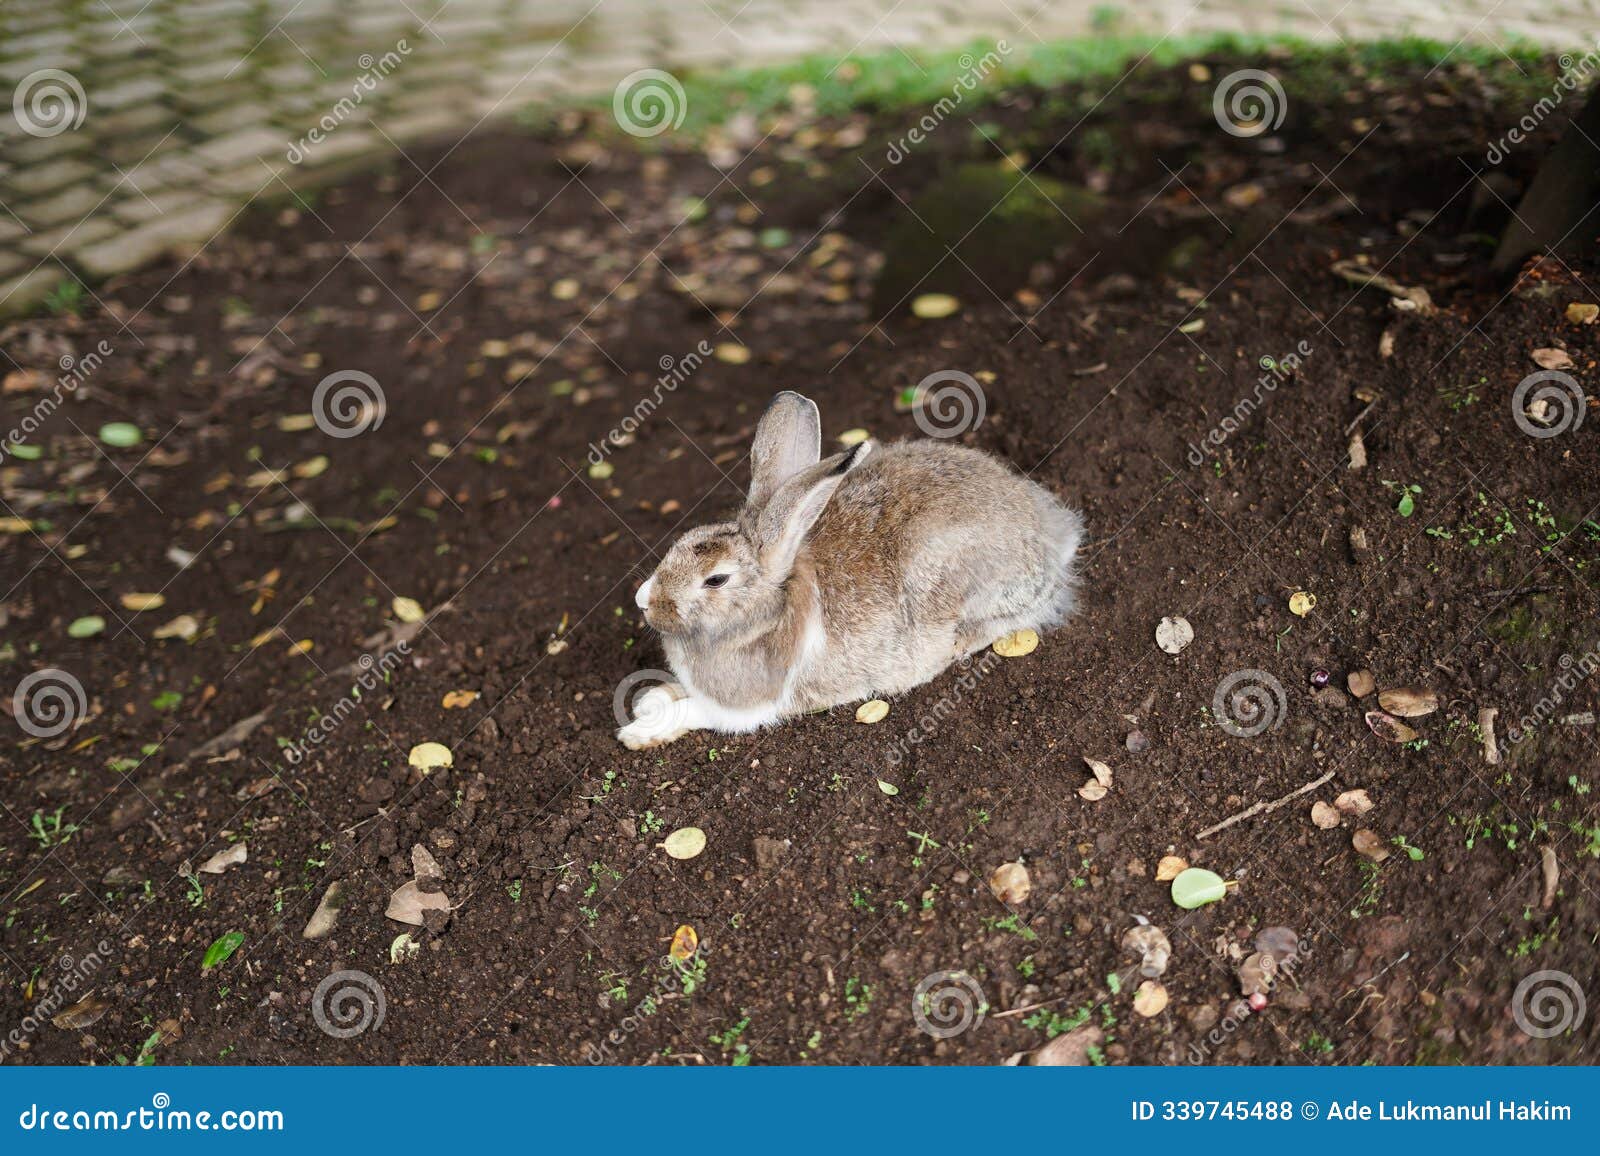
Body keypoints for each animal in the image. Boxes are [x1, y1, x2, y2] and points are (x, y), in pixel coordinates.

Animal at [616, 390, 1084, 749]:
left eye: (715, 580)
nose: (643, 599)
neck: (763, 618)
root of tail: (1049, 534)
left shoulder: (743, 708)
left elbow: (693, 711)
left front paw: (639, 731)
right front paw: (649, 700)